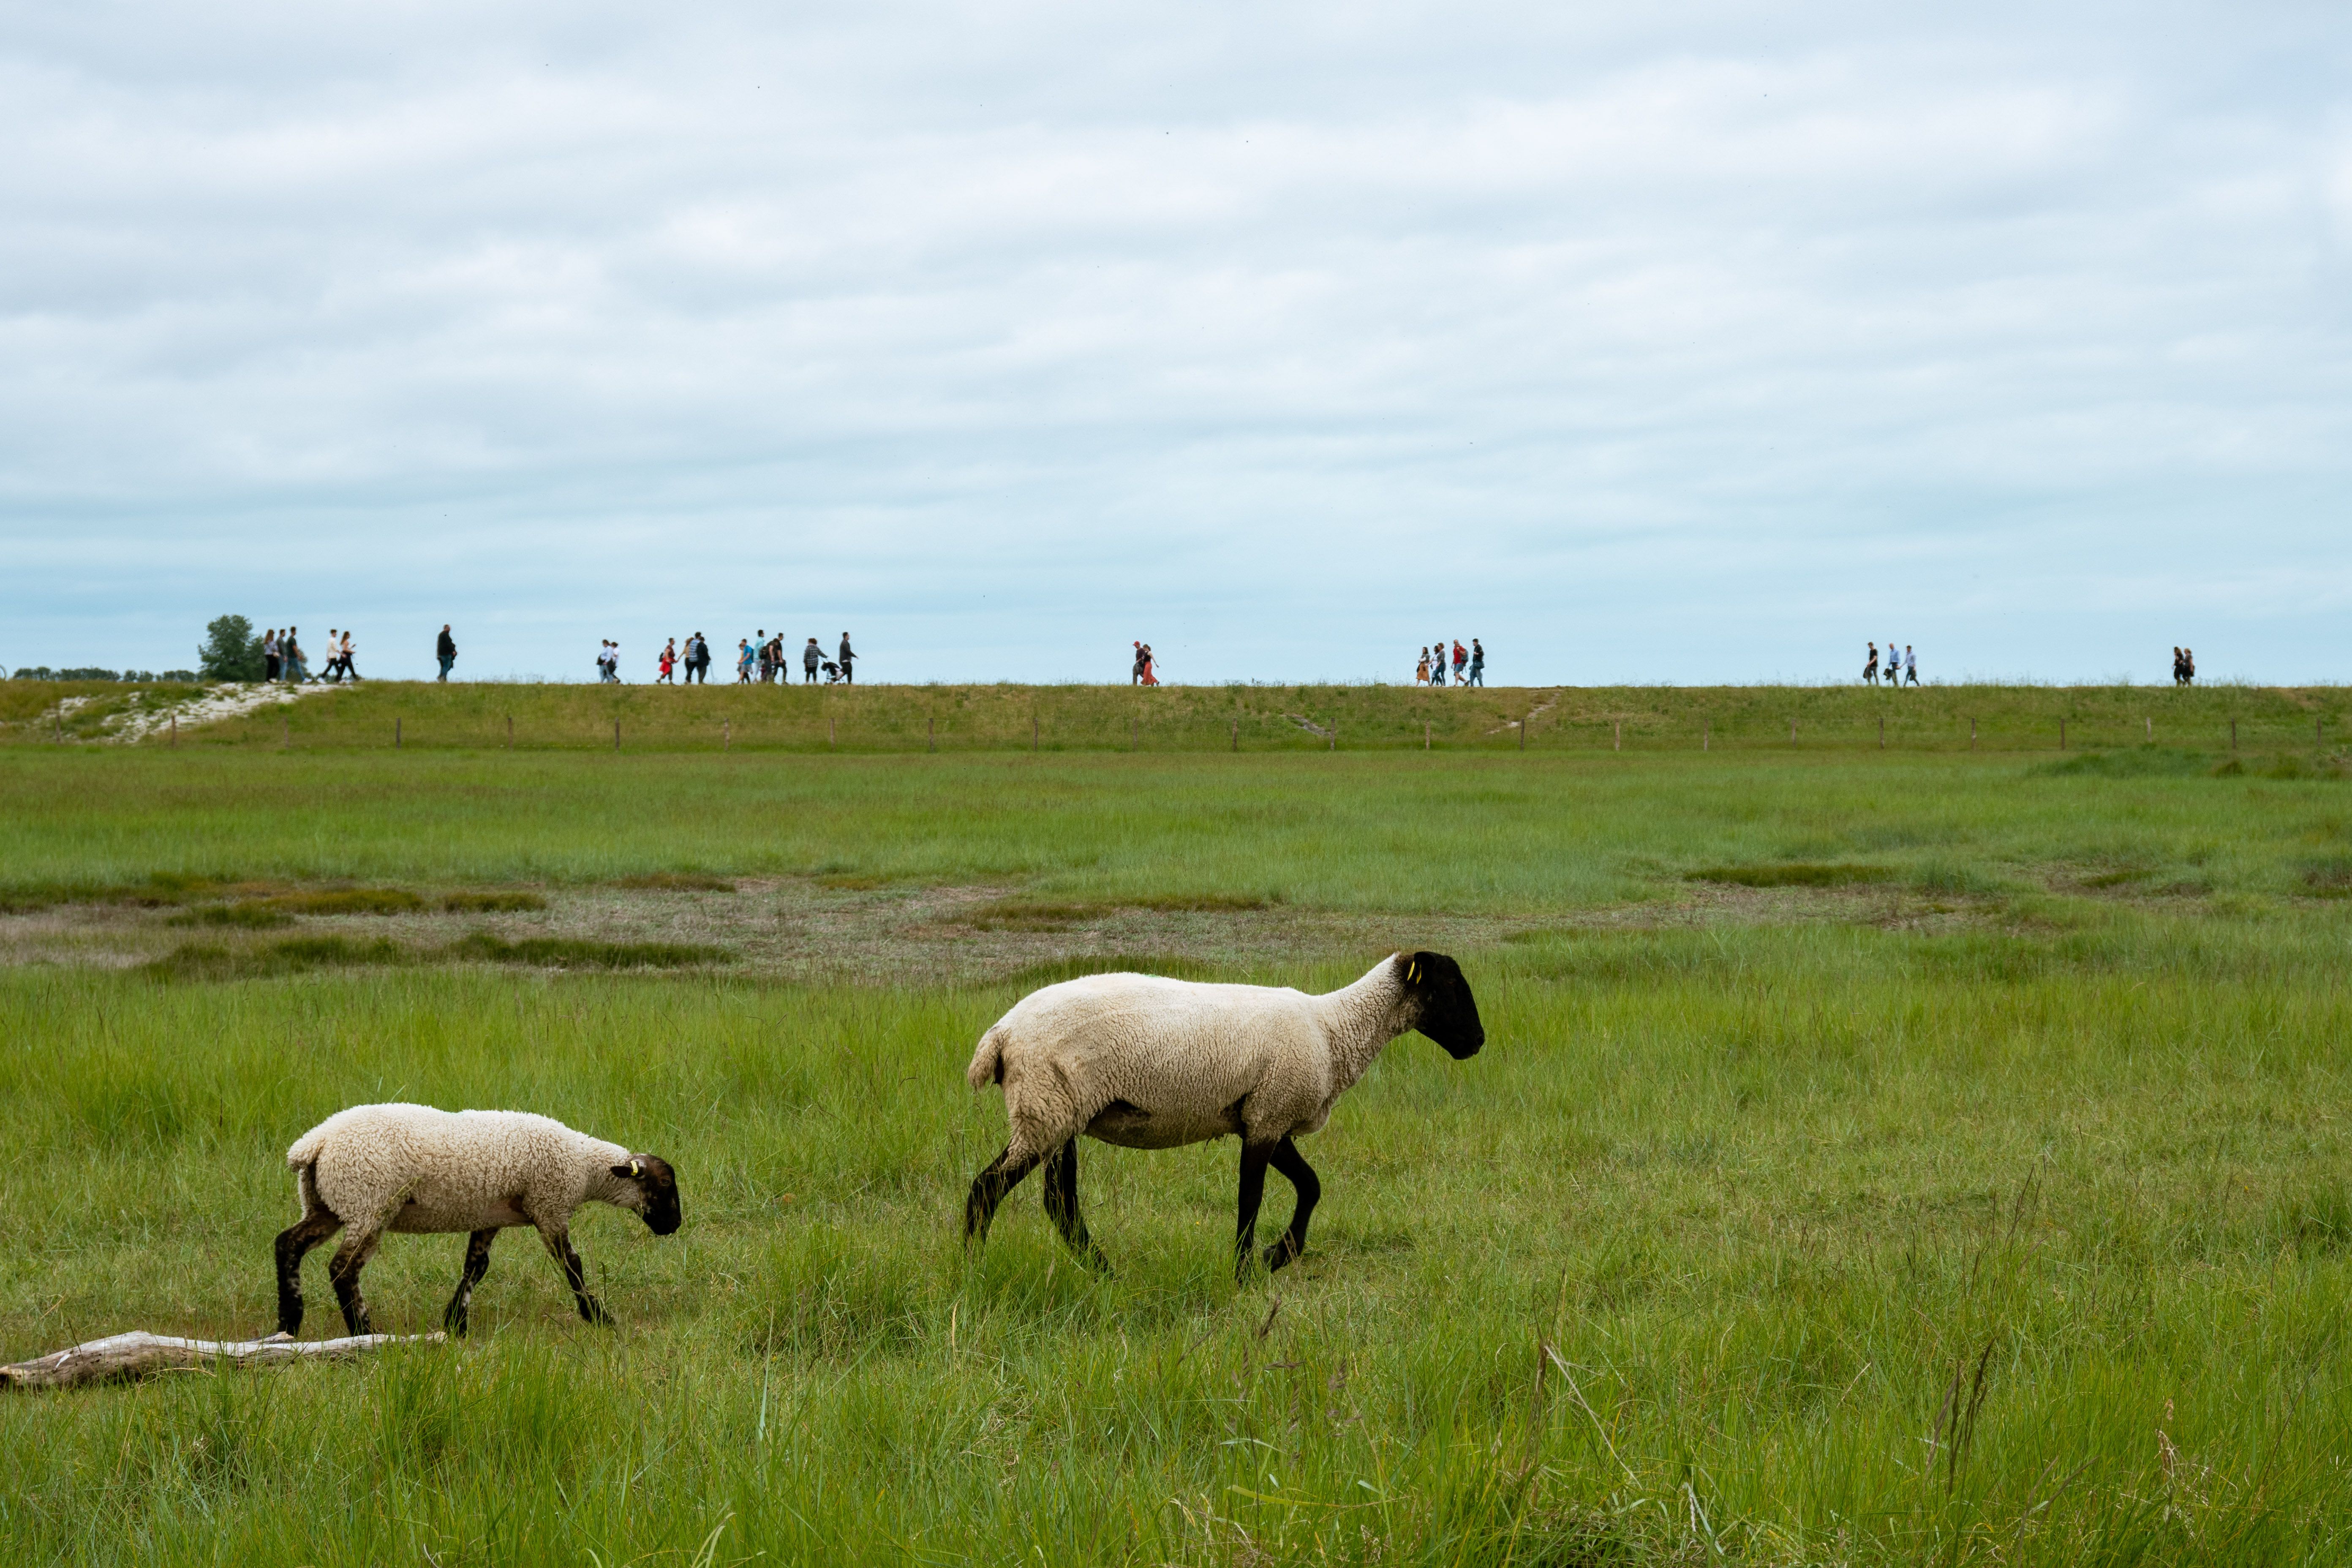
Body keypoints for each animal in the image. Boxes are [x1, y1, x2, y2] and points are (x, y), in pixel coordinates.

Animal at [273, 1104, 681, 1339]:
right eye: (664, 1184)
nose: (674, 1226)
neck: (582, 1165)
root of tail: (313, 1144)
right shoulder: (549, 1208)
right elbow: (572, 1265)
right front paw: (598, 1317)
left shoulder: (491, 1216)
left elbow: (476, 1267)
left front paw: (456, 1323)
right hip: (369, 1204)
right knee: (343, 1269)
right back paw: (363, 1332)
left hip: (326, 1205)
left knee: (287, 1244)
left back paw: (289, 1323)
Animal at [962, 950, 1483, 1281]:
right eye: (1448, 986)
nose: (1478, 1042)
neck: (1333, 1029)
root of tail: (999, 1036)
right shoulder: (1269, 1116)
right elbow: (1250, 1201)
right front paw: (1244, 1272)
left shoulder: (1266, 1115)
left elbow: (1311, 1186)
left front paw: (1277, 1257)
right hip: (1046, 1110)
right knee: (991, 1189)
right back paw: (974, 1268)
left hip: (1056, 1114)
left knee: (1060, 1204)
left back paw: (1105, 1274)